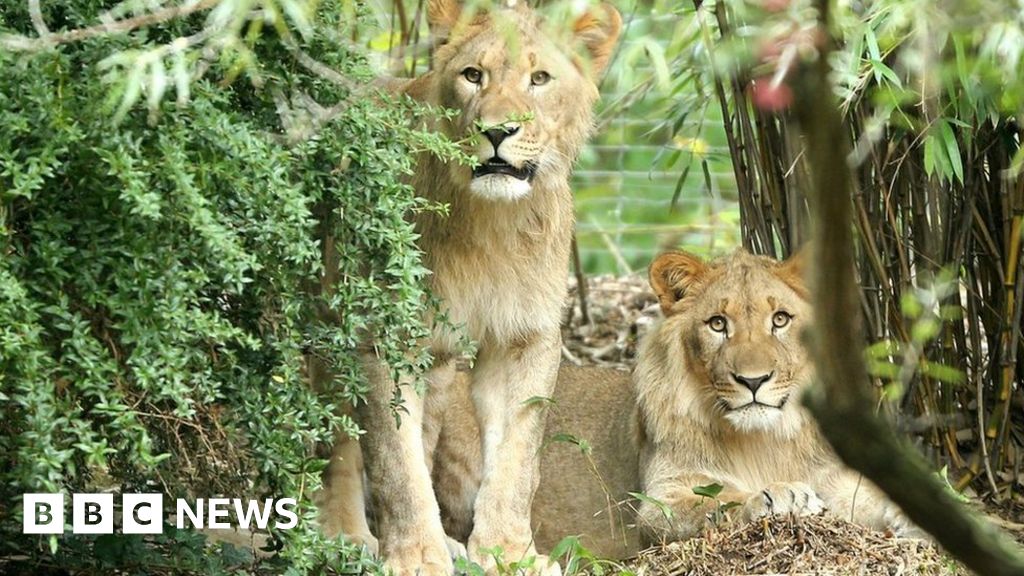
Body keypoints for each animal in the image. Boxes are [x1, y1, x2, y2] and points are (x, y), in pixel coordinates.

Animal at [317, 1, 621, 574]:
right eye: (473, 75)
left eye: (539, 79)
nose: (497, 131)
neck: (492, 223)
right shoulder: (387, 337)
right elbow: (393, 459)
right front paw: (415, 556)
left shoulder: (523, 338)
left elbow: (516, 459)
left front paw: (509, 552)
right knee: (335, 436)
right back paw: (342, 535)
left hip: (435, 362)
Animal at [635, 248, 910, 545]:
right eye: (717, 324)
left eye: (780, 319)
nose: (753, 380)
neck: (761, 440)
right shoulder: (660, 501)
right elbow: (715, 502)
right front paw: (780, 496)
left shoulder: (834, 476)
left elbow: (871, 496)